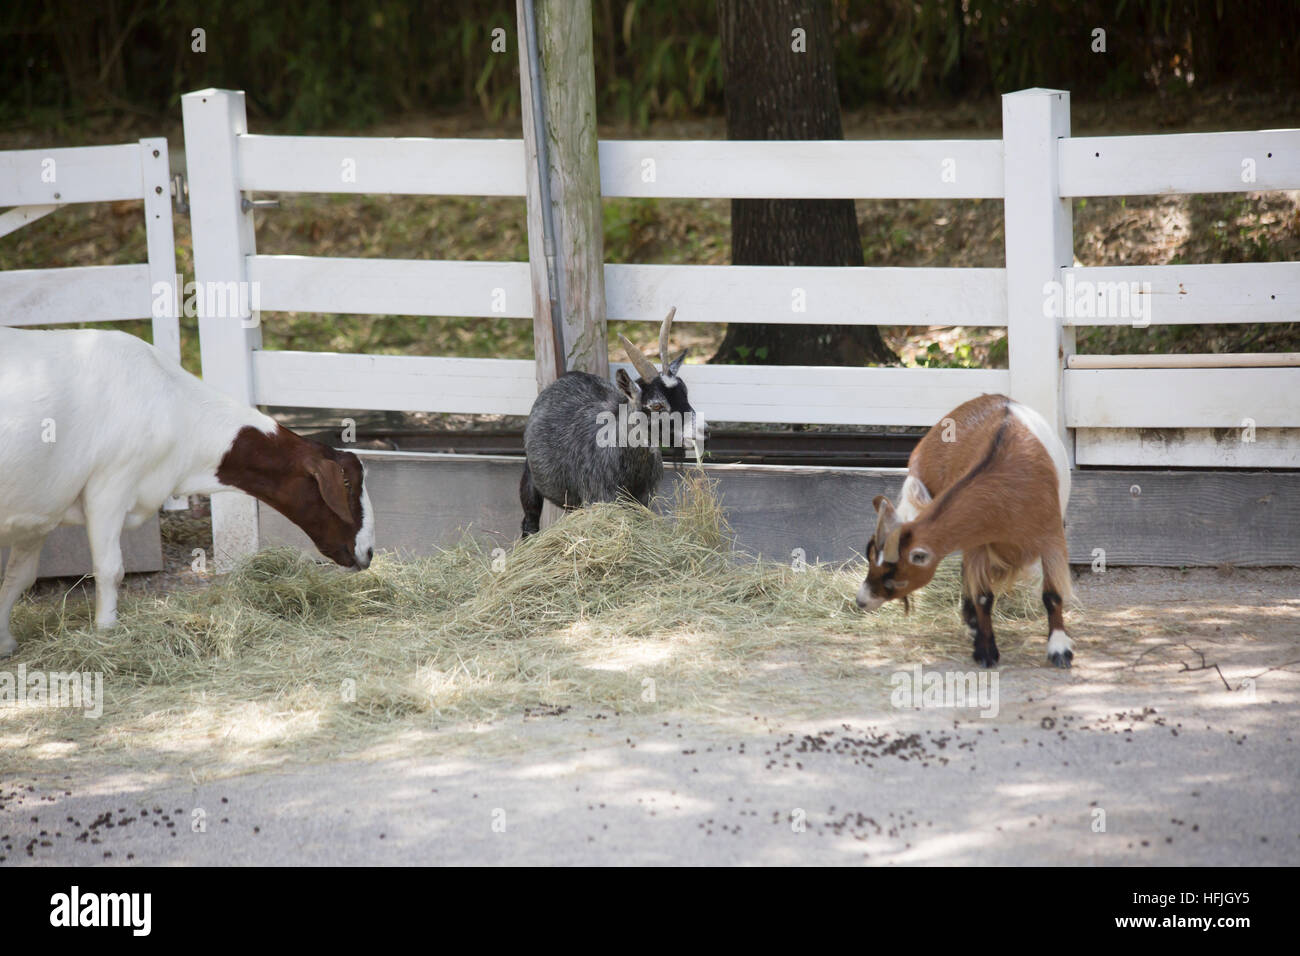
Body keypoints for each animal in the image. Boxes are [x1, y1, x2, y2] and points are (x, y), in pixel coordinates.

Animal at [0, 328, 375, 657]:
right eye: (346, 485)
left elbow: (18, 577)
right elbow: (110, 569)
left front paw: (4, 642)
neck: (179, 413)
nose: (369, 553)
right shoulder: (110, 486)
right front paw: (106, 632)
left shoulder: (39, 511)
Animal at [520, 307, 706, 536]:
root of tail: (564, 377)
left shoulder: (643, 500)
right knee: (529, 520)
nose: (700, 430)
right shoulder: (600, 500)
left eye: (685, 392)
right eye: (656, 405)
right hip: (531, 478)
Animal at [855, 393, 1074, 668]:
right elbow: (983, 596)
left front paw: (1059, 649)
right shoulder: (975, 541)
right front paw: (985, 650)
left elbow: (1052, 594)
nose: (861, 600)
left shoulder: (1051, 537)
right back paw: (971, 623)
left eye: (891, 571)